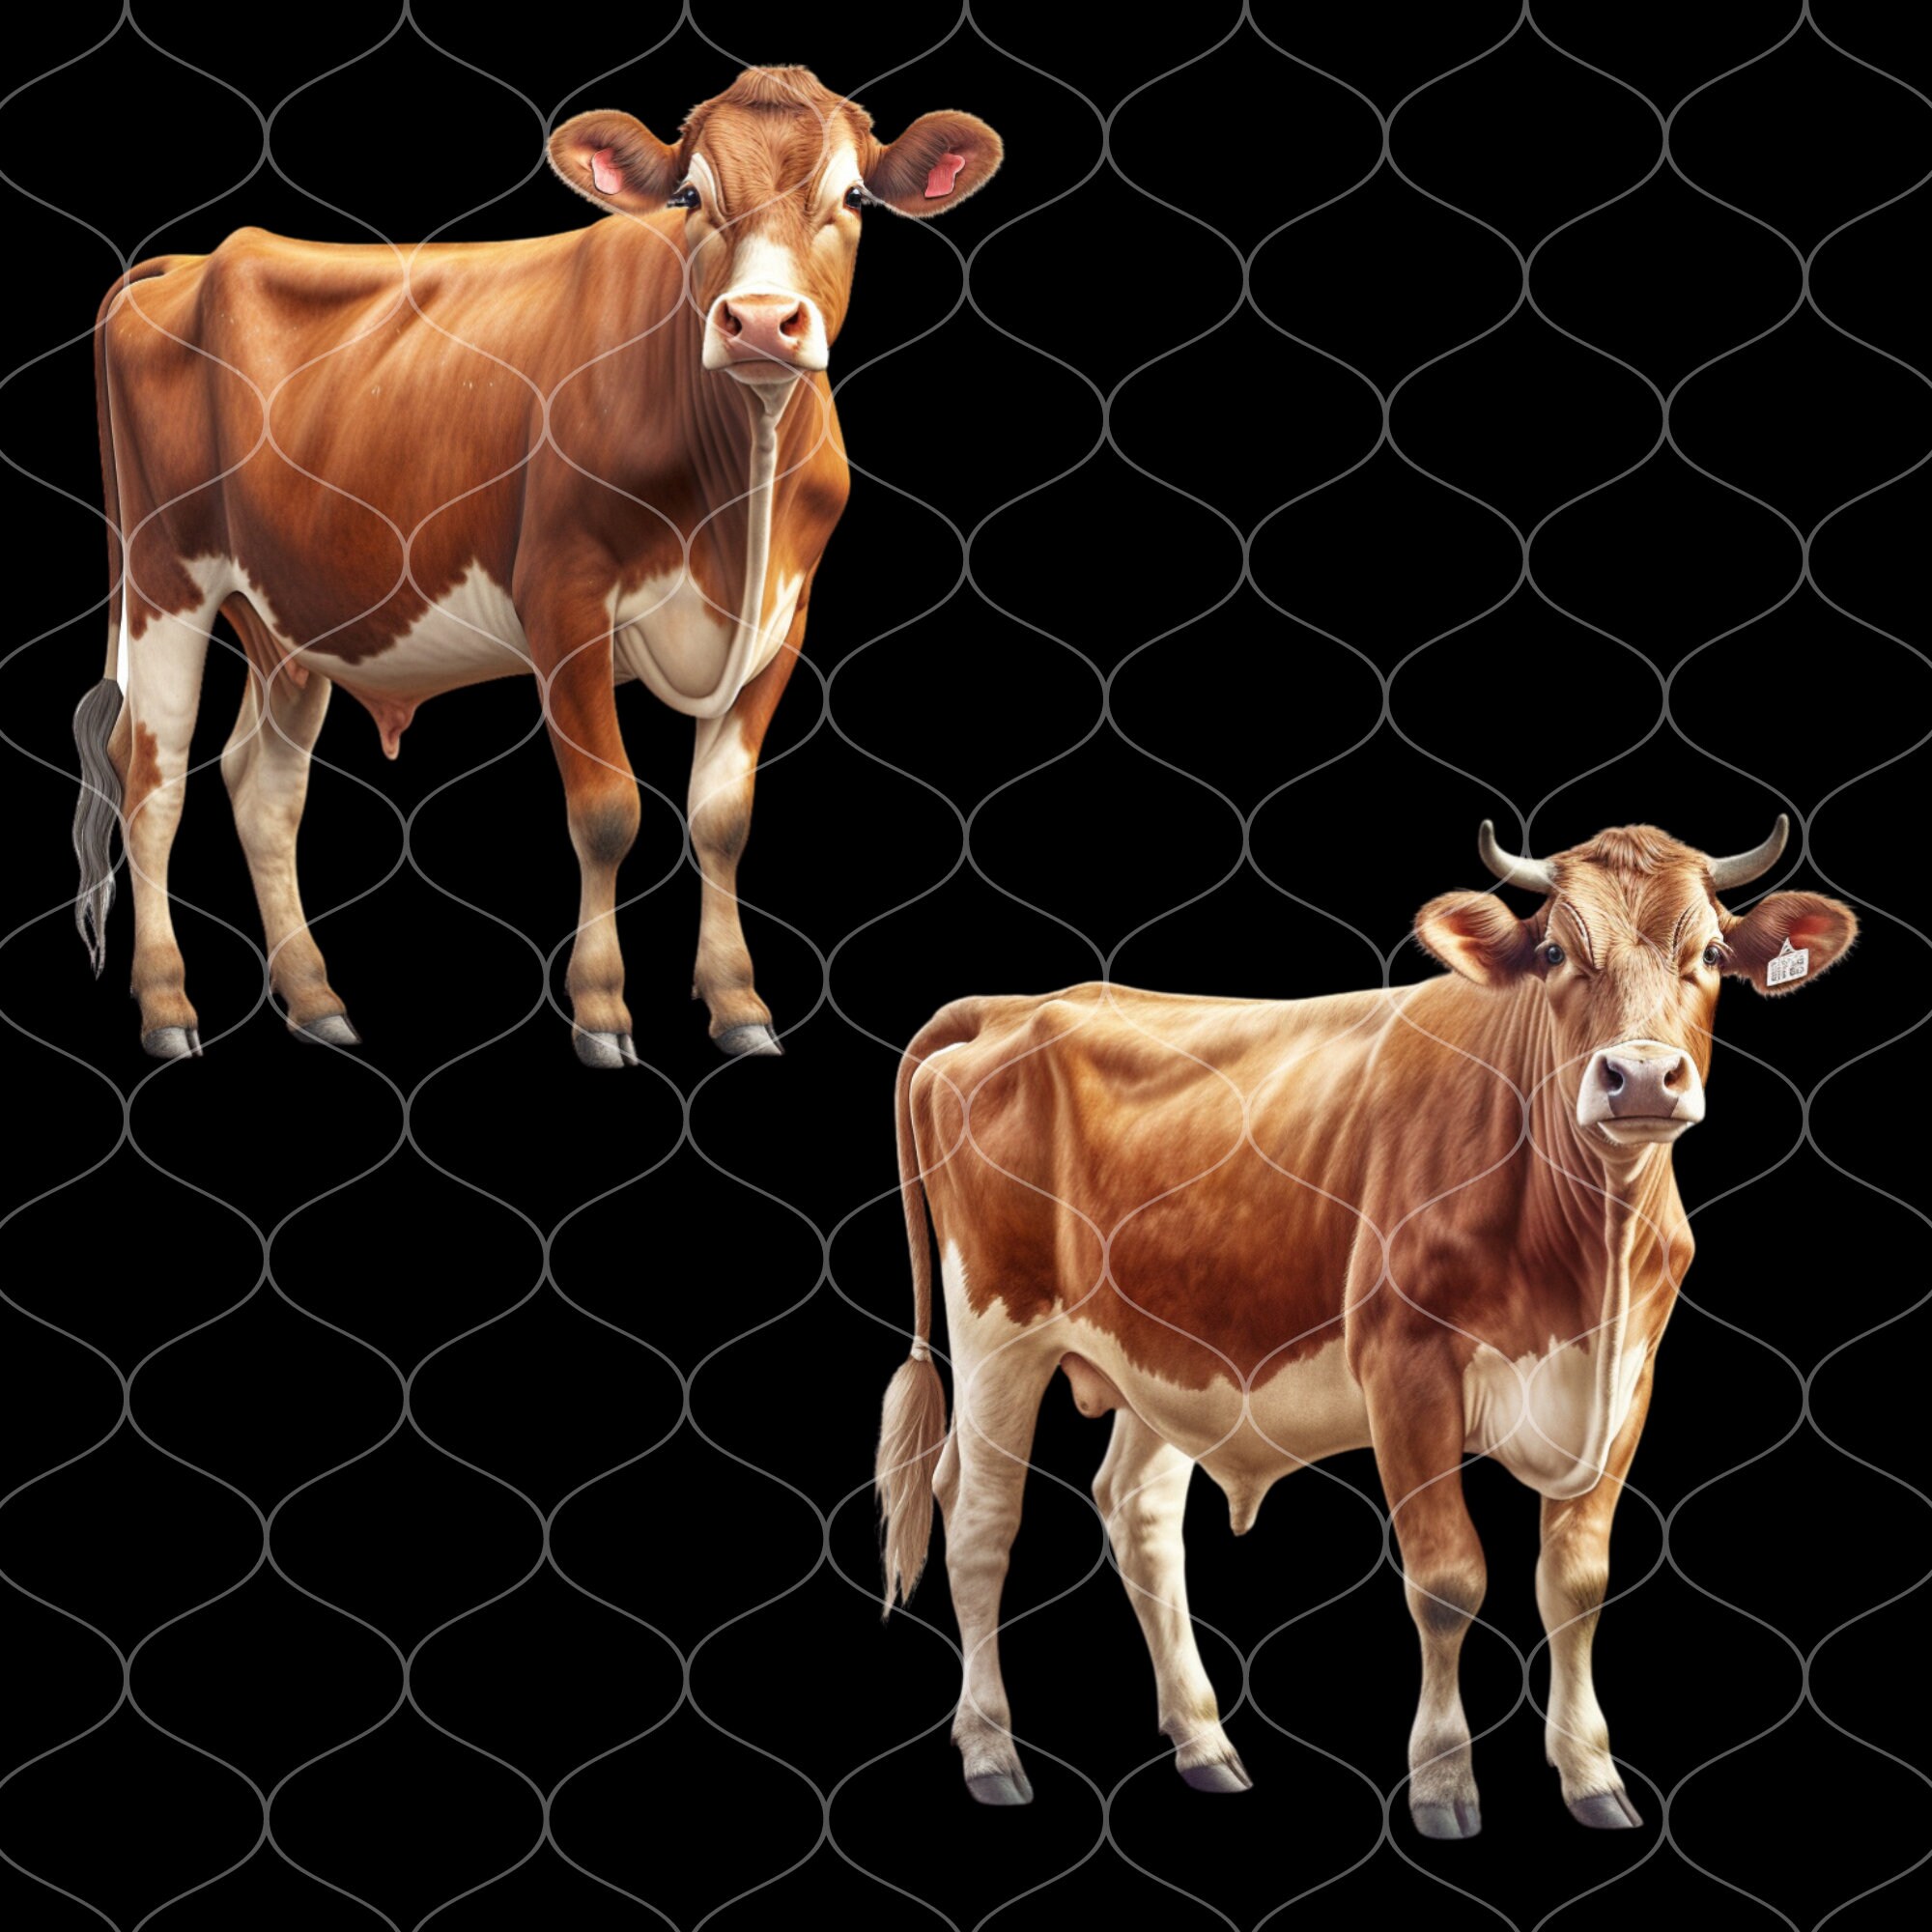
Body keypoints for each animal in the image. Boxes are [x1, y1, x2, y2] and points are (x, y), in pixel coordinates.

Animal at [68, 66, 999, 1065]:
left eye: (856, 198)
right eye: (688, 196)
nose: (758, 323)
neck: (733, 505)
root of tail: (188, 261)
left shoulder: (785, 620)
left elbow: (722, 819)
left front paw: (739, 1005)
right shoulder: (564, 601)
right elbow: (607, 812)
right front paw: (600, 1013)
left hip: (289, 608)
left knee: (263, 787)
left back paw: (316, 1000)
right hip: (164, 579)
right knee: (150, 781)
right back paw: (167, 1007)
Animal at [875, 818, 1857, 1836]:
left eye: (1710, 955)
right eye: (1553, 952)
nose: (1640, 1078)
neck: (1590, 1257)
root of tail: (1017, 1002)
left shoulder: (1629, 1377)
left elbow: (1576, 1583)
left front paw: (1592, 1778)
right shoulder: (1405, 1368)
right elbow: (1448, 1580)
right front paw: (1443, 1782)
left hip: (1169, 1351)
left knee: (1137, 1512)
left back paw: (1205, 1748)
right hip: (996, 1330)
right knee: (980, 1518)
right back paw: (992, 1755)